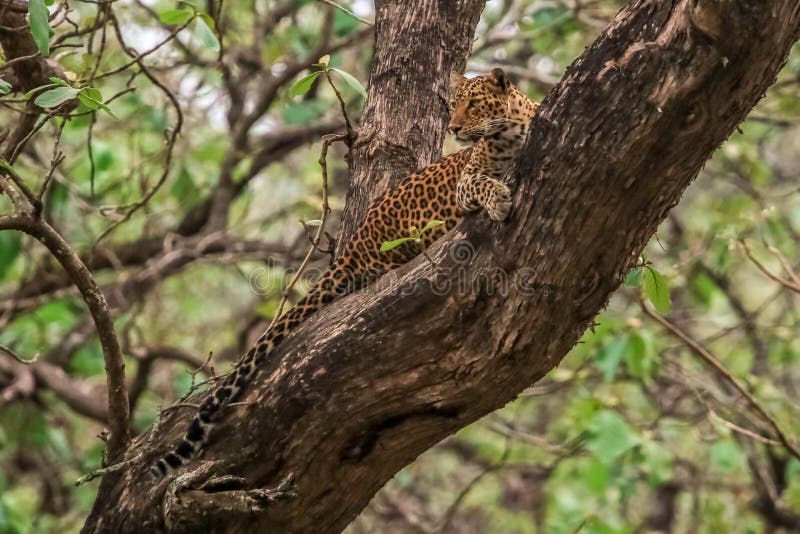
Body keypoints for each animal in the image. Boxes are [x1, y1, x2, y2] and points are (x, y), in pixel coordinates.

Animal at [150, 68, 540, 478]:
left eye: (474, 104)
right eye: (453, 105)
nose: (454, 128)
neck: (511, 132)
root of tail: (355, 242)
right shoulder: (467, 182)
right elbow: (482, 181)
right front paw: (499, 200)